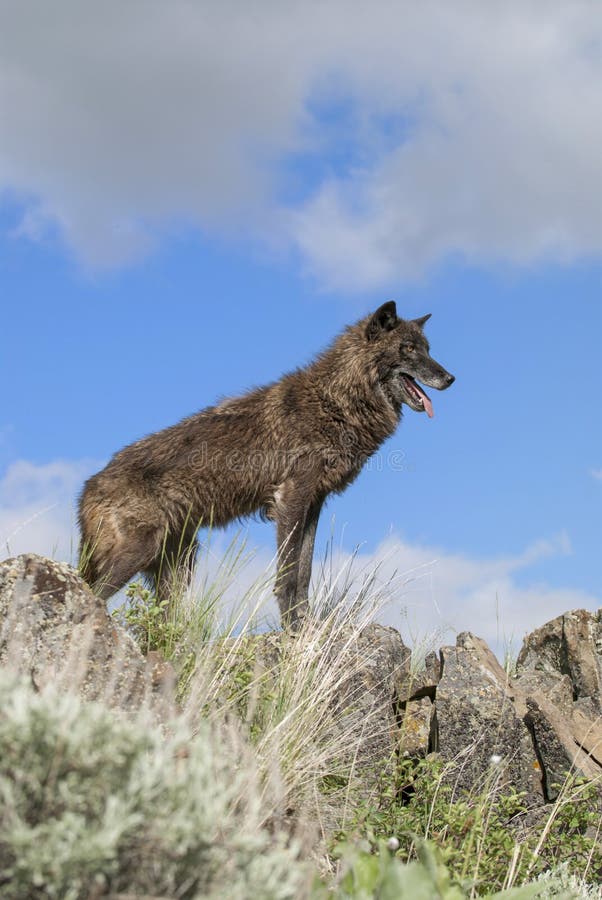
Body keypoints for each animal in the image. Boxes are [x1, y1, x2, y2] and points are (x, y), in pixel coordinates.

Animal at [78, 301, 454, 627]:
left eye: (428, 348)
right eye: (408, 349)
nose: (450, 378)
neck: (336, 401)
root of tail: (87, 487)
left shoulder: (313, 503)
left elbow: (303, 574)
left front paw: (306, 627)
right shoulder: (290, 498)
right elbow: (287, 576)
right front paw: (291, 630)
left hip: (179, 565)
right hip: (138, 553)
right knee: (94, 592)